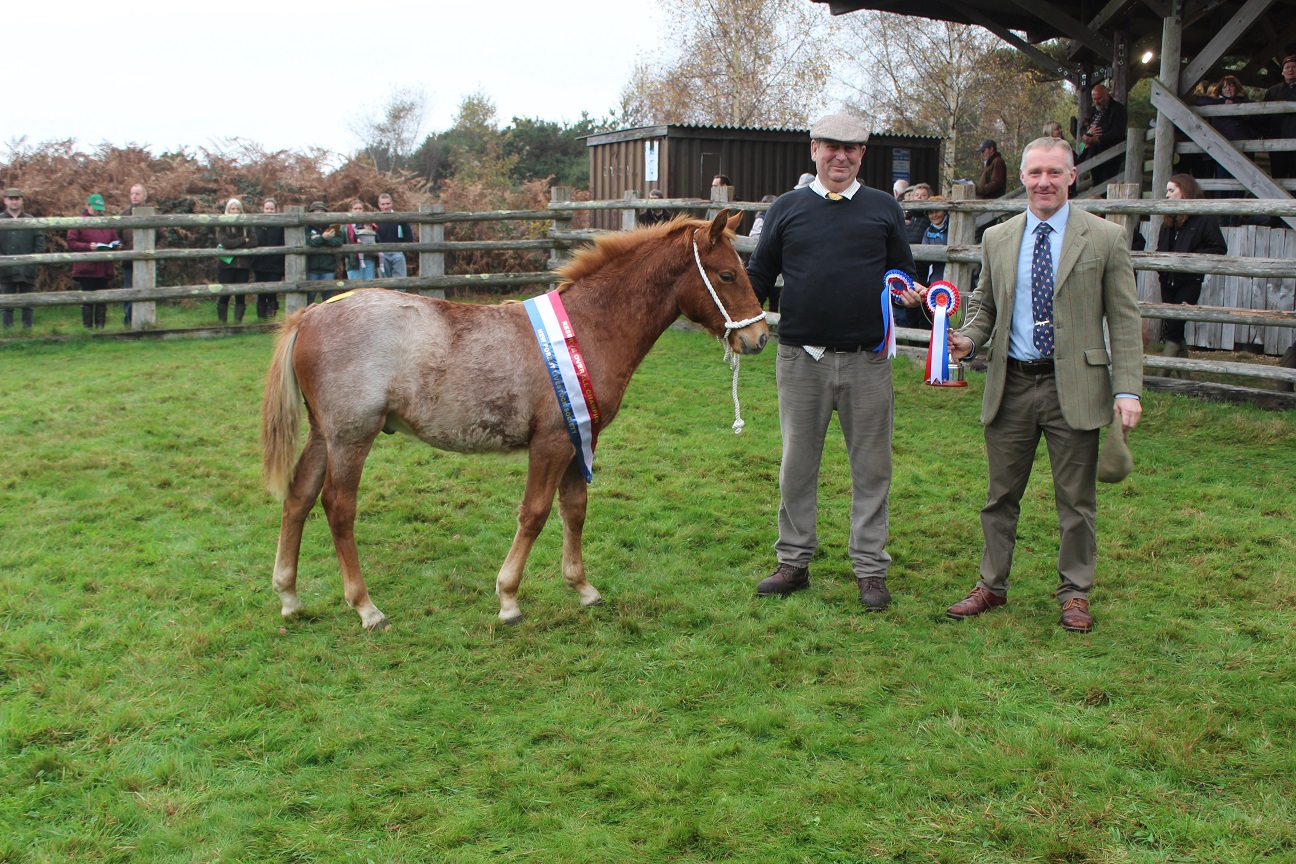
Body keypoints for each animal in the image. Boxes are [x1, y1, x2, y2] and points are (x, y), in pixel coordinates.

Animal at [260, 210, 769, 629]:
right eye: (726, 274)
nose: (760, 337)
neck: (587, 327)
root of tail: (309, 314)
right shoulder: (555, 440)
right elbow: (536, 513)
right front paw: (508, 599)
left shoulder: (582, 437)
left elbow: (574, 509)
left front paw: (583, 588)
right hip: (351, 437)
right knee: (338, 507)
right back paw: (366, 607)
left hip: (323, 435)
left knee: (299, 497)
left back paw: (289, 596)